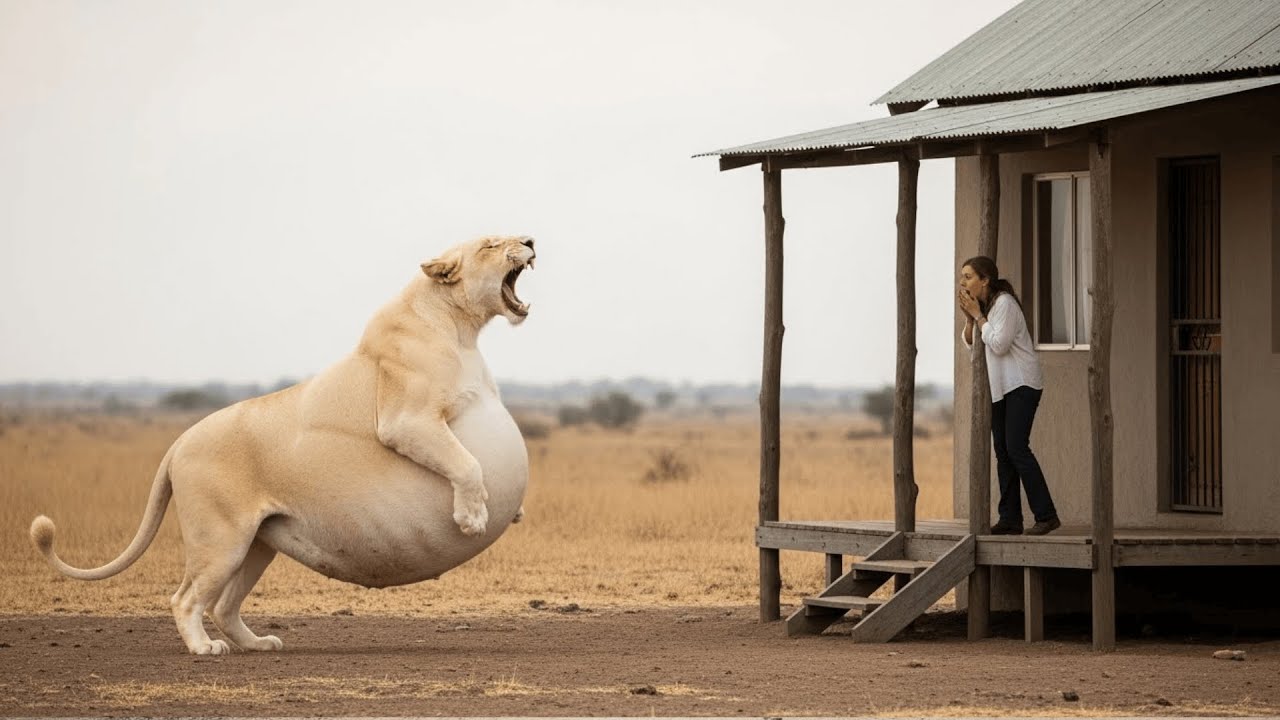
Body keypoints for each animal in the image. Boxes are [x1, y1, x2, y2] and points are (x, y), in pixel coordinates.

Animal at [29, 235, 537, 655]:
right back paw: (203, 648)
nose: (530, 240)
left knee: (224, 605)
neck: (461, 328)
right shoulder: (404, 421)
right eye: (491, 244)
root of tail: (178, 443)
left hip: (257, 544)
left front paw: (510, 512)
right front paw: (472, 516)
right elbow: (466, 463)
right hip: (220, 539)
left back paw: (257, 644)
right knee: (186, 598)